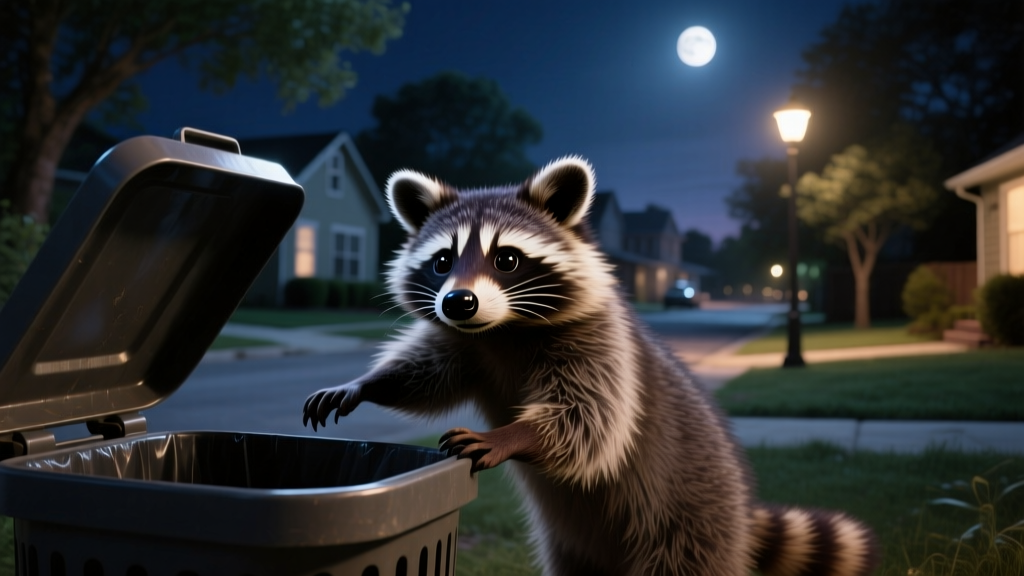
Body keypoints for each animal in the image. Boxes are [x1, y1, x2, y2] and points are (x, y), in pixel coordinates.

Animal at [303, 157, 877, 576]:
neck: (501, 330)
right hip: (575, 546)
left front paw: (514, 434)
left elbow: (592, 419)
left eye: (507, 259)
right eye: (442, 261)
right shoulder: (463, 344)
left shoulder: (600, 343)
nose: (458, 302)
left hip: (690, 516)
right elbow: (429, 373)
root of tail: (739, 508)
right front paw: (366, 384)